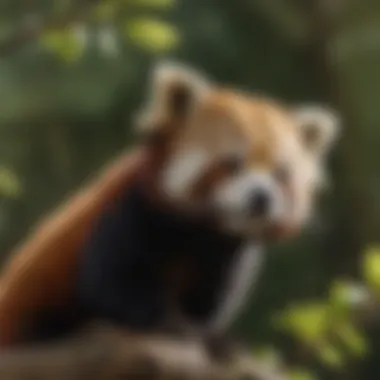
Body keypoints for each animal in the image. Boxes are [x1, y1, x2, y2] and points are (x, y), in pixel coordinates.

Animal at [0, 61, 340, 348]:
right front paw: (170, 323)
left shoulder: (228, 255)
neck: (204, 228)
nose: (261, 197)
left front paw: (205, 331)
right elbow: (110, 281)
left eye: (280, 174)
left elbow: (208, 302)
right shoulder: (130, 213)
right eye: (232, 164)